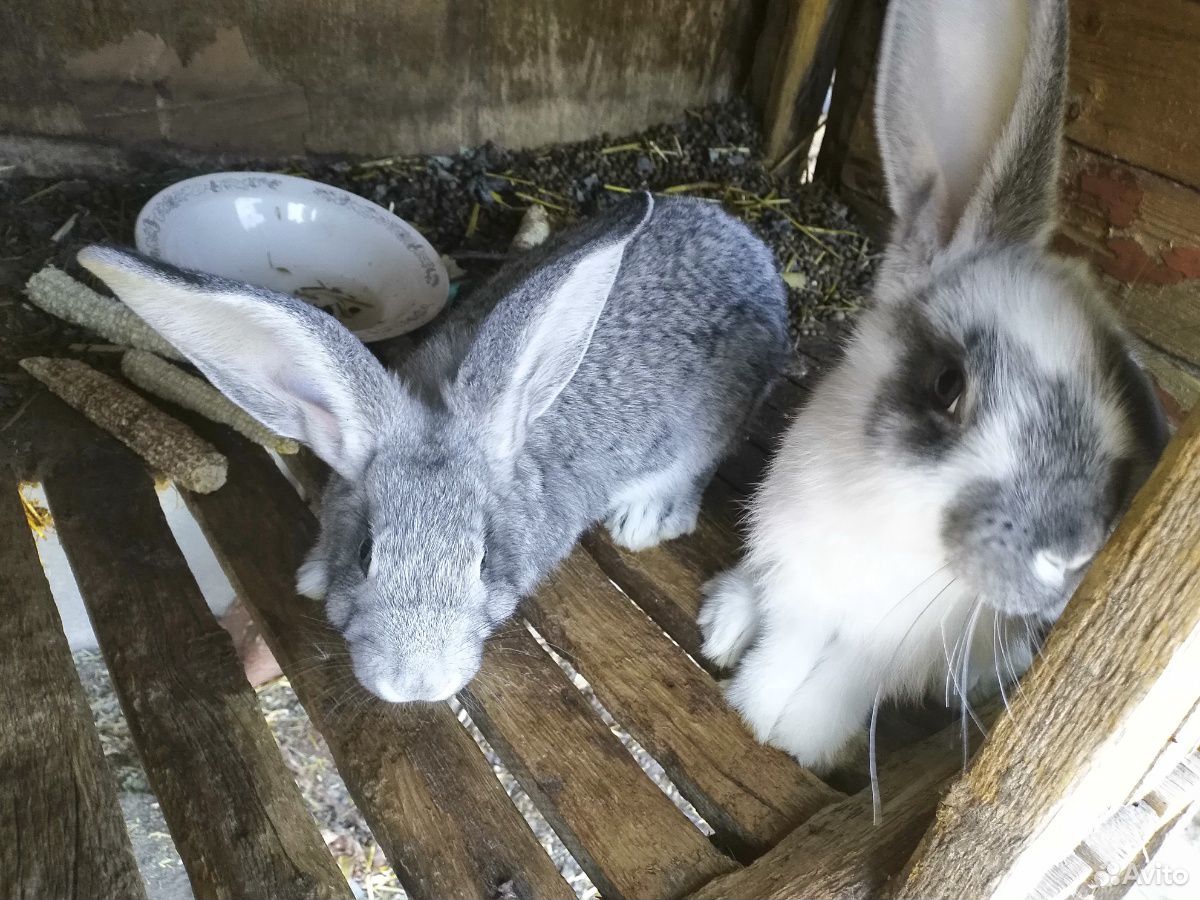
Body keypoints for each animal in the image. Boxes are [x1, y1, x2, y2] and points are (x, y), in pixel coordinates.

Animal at [78, 191, 789, 703]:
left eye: (483, 561)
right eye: (365, 554)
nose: (415, 685)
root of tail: (743, 239)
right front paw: (313, 576)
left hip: (709, 428)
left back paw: (645, 518)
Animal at [698, 0, 1170, 772]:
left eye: (1123, 444)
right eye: (948, 385)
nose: (1071, 555)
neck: (902, 526)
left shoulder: (871, 655)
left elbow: (830, 687)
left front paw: (788, 736)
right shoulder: (801, 580)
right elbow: (785, 643)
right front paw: (754, 704)